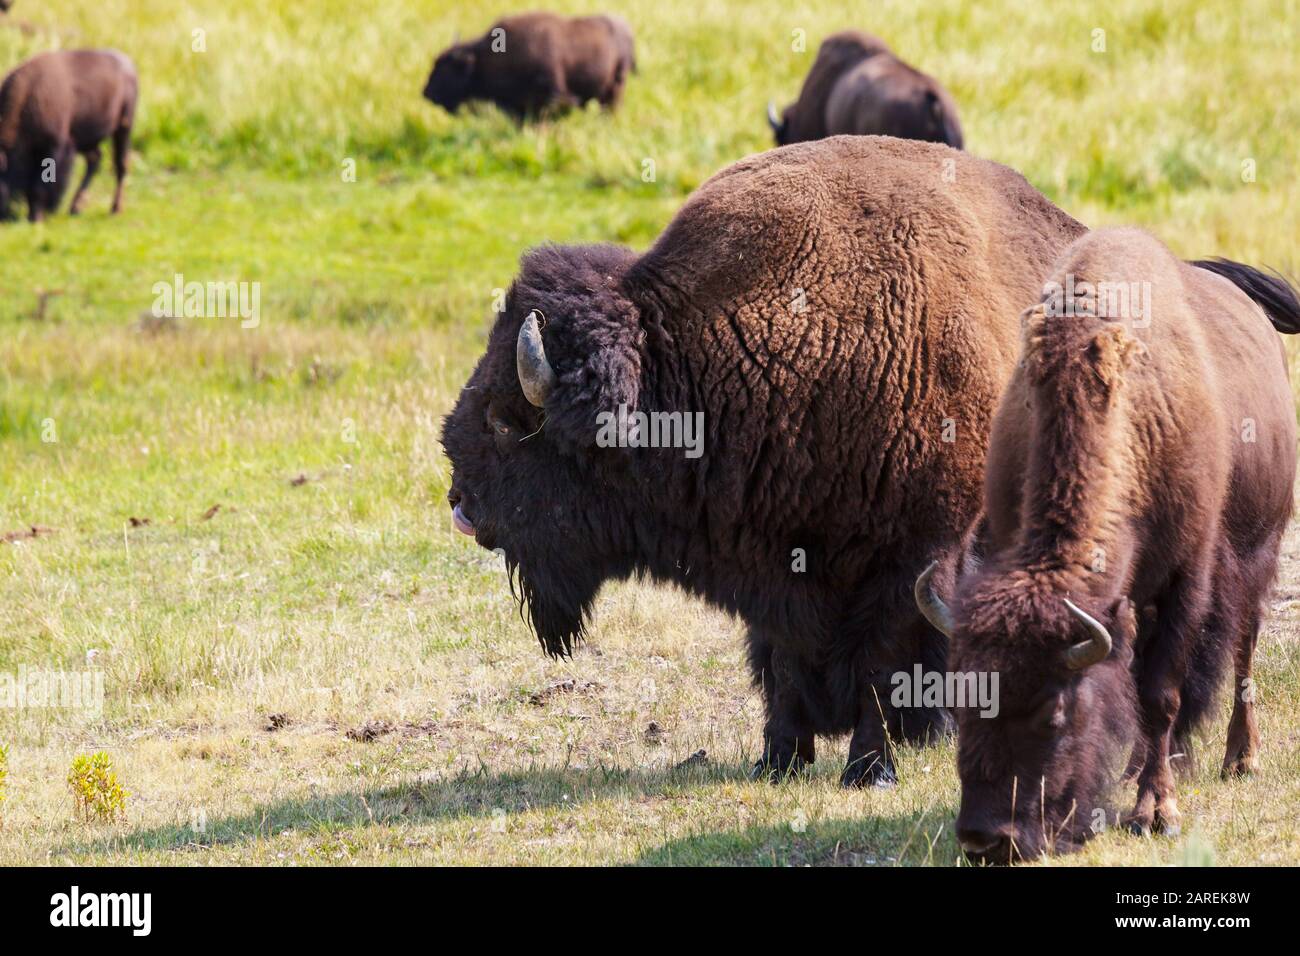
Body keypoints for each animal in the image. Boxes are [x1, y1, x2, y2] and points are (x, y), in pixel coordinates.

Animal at [0, 49, 137, 222]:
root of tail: (128, 64)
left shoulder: (54, 147)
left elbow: (39, 186)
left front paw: (36, 217)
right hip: (86, 140)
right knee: (95, 160)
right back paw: (75, 208)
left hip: (123, 127)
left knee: (121, 165)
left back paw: (115, 209)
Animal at [441, 136, 1085, 786]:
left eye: (503, 420)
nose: (460, 501)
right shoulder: (764, 561)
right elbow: (782, 661)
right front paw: (779, 760)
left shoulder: (916, 556)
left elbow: (883, 661)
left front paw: (868, 769)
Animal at [916, 227, 1300, 861]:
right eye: (962, 699)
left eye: (1054, 714)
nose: (985, 838)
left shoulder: (1185, 578)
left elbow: (1162, 693)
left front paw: (1156, 813)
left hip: (1259, 550)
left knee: (1244, 643)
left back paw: (1240, 759)